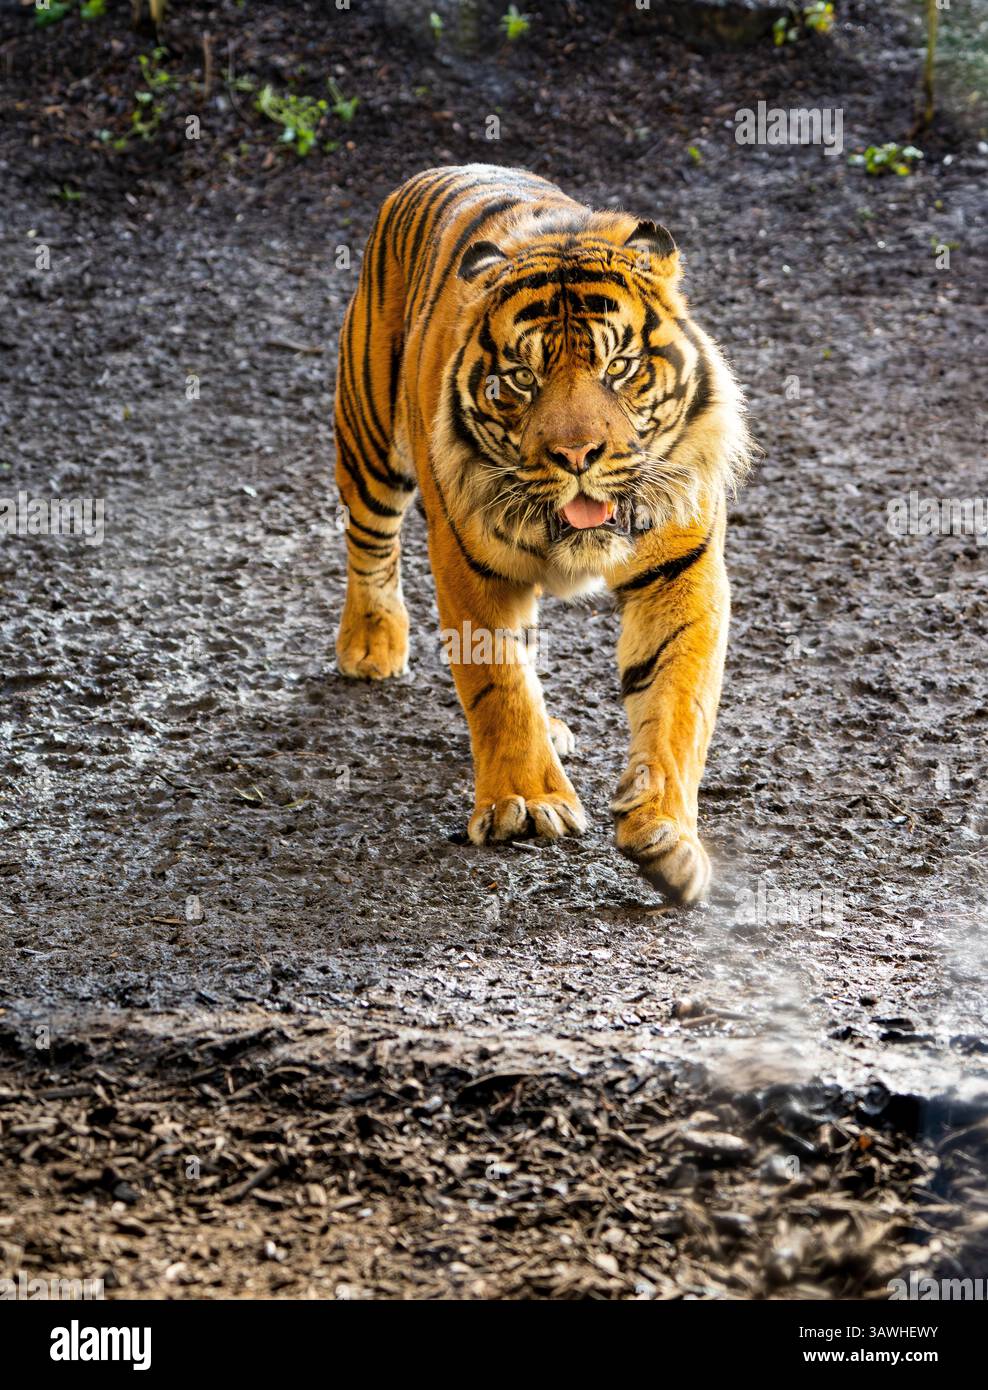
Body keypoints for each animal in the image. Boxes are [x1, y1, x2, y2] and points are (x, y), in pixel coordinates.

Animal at [334, 165, 750, 903]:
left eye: (619, 368)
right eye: (523, 380)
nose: (576, 455)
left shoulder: (682, 573)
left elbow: (676, 706)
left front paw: (666, 836)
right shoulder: (469, 566)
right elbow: (499, 685)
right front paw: (527, 804)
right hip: (369, 442)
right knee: (369, 541)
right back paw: (370, 642)